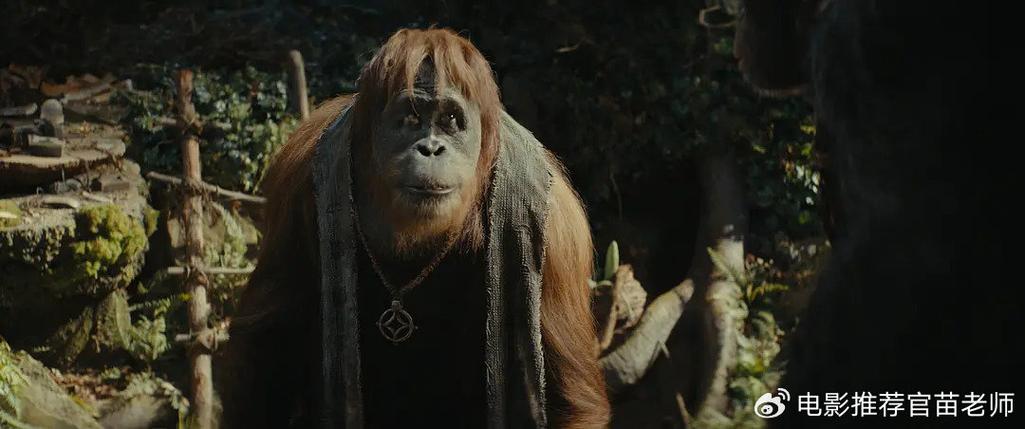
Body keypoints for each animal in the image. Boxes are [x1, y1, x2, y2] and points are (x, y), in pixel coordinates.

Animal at [218, 28, 610, 428]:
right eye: (410, 118)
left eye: (450, 119)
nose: (431, 148)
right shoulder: (296, 177)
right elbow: (266, 340)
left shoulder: (558, 227)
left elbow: (569, 398)